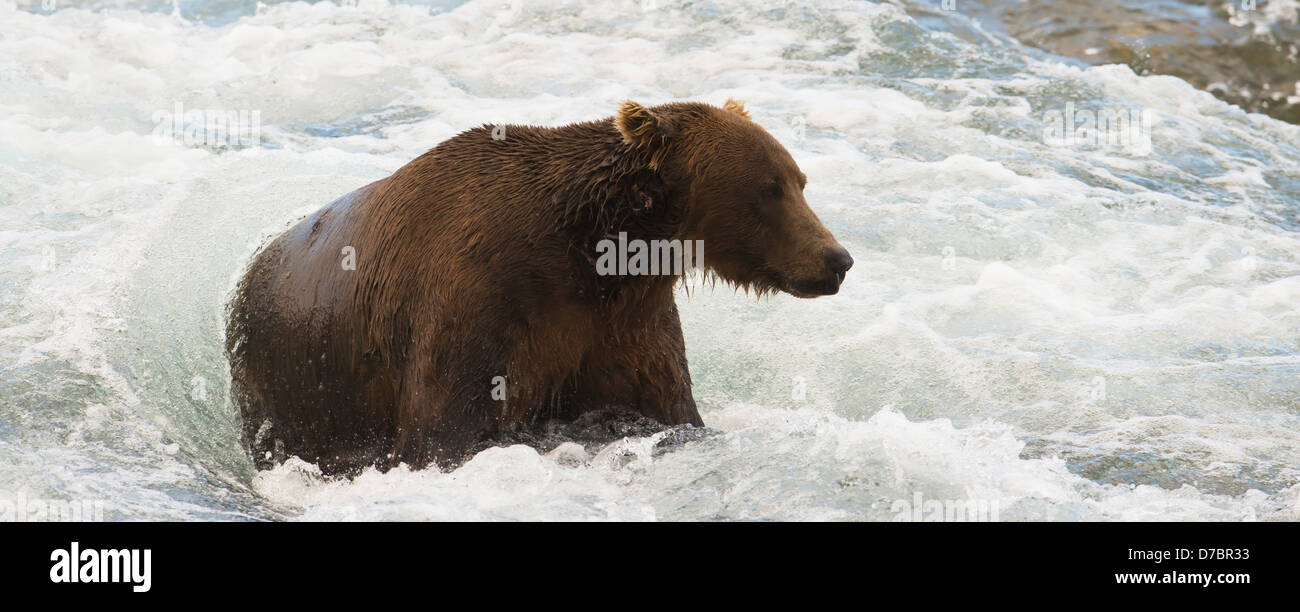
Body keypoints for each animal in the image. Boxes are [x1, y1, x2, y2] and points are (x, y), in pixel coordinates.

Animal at [225, 99, 853, 475]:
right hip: (290, 379)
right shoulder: (473, 300)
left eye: (799, 180)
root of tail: (246, 271)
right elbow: (441, 434)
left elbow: (668, 407)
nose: (838, 259)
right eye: (769, 188)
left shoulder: (623, 325)